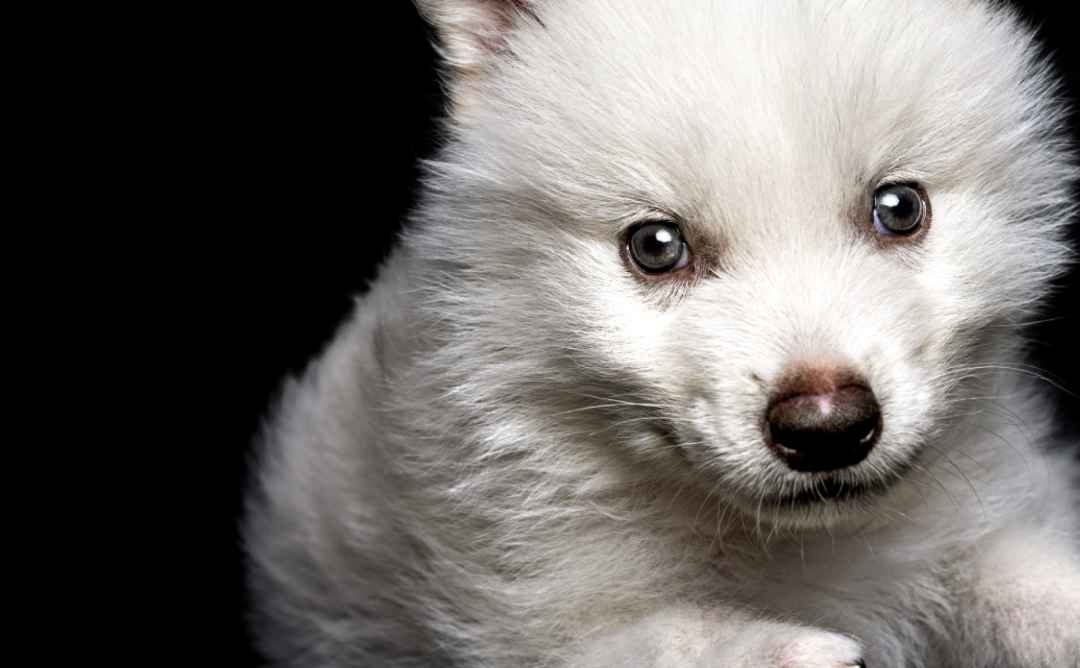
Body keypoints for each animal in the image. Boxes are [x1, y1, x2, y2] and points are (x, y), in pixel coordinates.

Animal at [245, 1, 1080, 665]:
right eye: (655, 246)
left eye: (899, 208)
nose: (828, 427)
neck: (789, 543)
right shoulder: (520, 615)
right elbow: (667, 636)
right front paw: (785, 649)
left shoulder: (970, 530)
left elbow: (1028, 587)